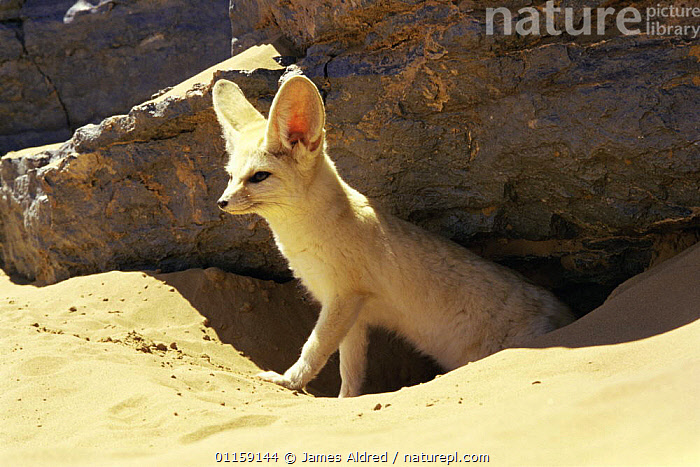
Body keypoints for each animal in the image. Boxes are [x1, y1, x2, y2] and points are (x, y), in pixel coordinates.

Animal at [212, 72, 574, 398]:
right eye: (230, 176)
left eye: (259, 177)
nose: (221, 202)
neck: (313, 233)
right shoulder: (353, 315)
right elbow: (351, 371)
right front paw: (344, 401)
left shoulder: (344, 299)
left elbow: (314, 349)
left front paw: (289, 381)